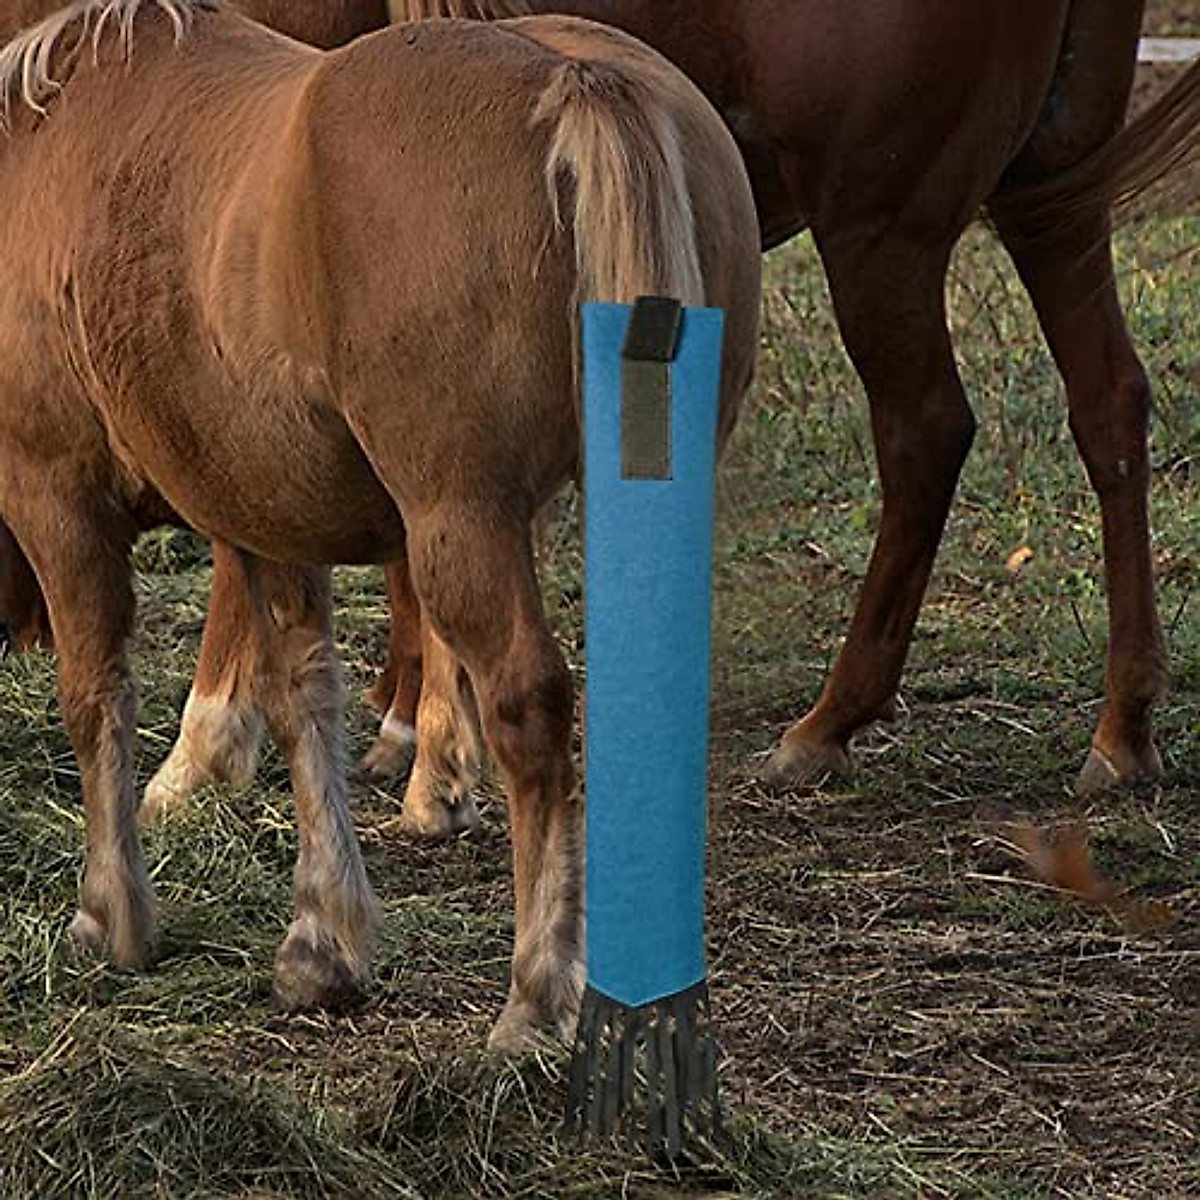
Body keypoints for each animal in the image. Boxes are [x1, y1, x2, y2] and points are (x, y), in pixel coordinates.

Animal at [0, 0, 761, 1048]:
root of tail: (580, 79)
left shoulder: (55, 492)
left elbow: (95, 694)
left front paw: (110, 915)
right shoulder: (266, 518)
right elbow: (301, 699)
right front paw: (322, 941)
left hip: (459, 517)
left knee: (528, 704)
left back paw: (537, 998)